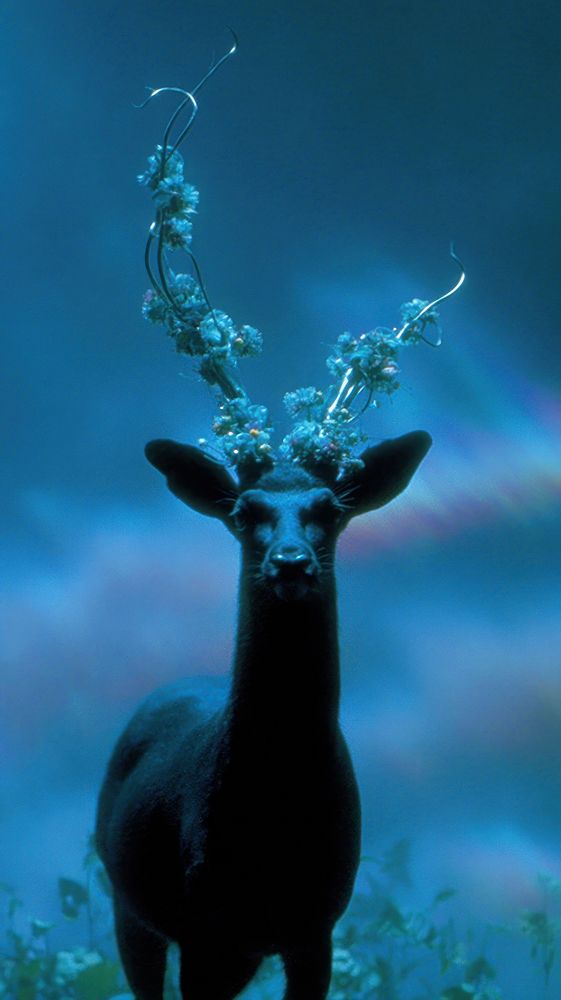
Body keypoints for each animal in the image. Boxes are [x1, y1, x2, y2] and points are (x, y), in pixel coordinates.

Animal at [96, 35, 464, 1000]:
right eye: (244, 510)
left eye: (330, 509)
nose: (291, 563)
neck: (266, 827)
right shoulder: (202, 924)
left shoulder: (316, 925)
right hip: (129, 904)